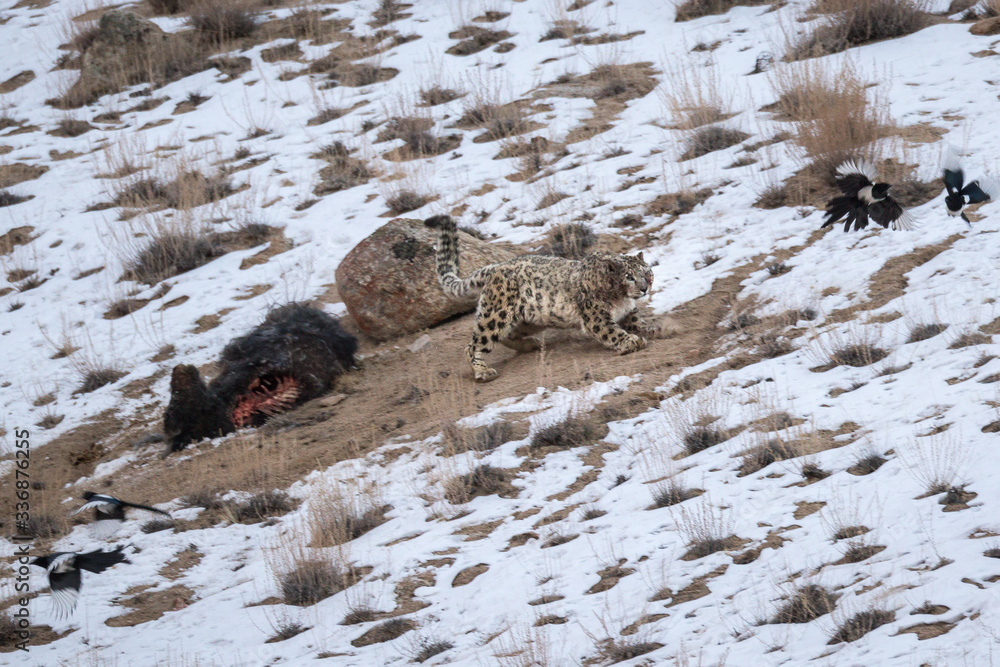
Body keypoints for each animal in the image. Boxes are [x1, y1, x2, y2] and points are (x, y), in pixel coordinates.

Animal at [424, 215, 654, 382]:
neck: (621, 299)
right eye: (629, 276)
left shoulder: (629, 310)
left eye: (647, 272)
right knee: (475, 344)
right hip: (495, 315)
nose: (644, 288)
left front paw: (651, 329)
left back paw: (529, 344)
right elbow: (613, 332)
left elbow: (637, 321)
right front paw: (632, 341)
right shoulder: (596, 318)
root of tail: (495, 267)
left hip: (531, 318)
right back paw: (483, 371)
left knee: (506, 335)